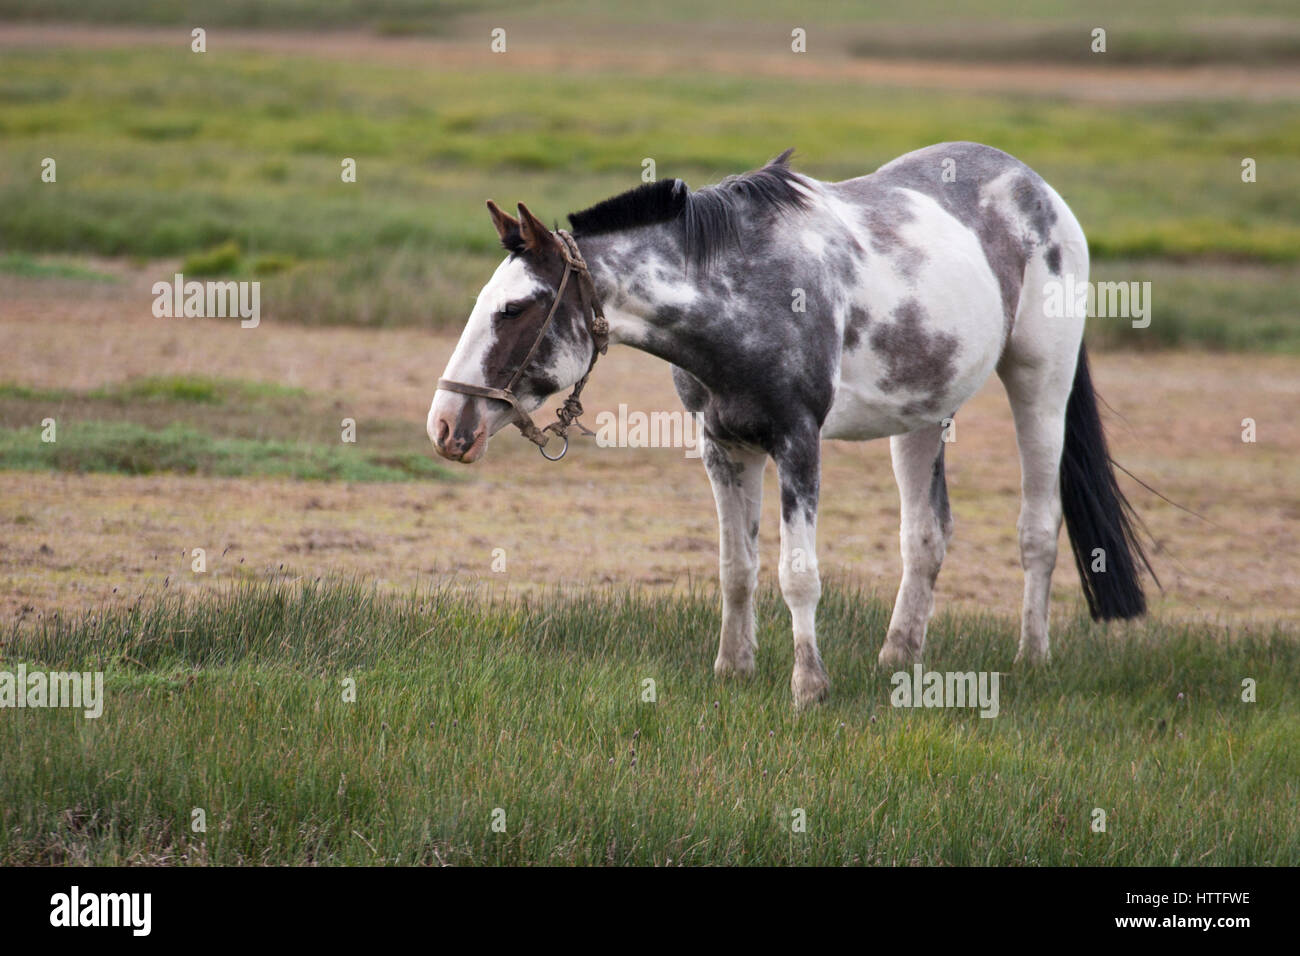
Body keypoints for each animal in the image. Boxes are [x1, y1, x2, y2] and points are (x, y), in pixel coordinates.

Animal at [429, 142, 1153, 709]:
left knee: (1037, 528)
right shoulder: (725, 447)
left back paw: (1032, 656)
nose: (444, 424)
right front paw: (733, 669)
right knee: (926, 536)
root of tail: (1038, 188)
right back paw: (898, 657)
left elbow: (797, 573)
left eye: (516, 307)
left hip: (1040, 384)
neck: (746, 293)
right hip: (921, 415)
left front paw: (809, 687)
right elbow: (737, 567)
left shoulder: (798, 442)